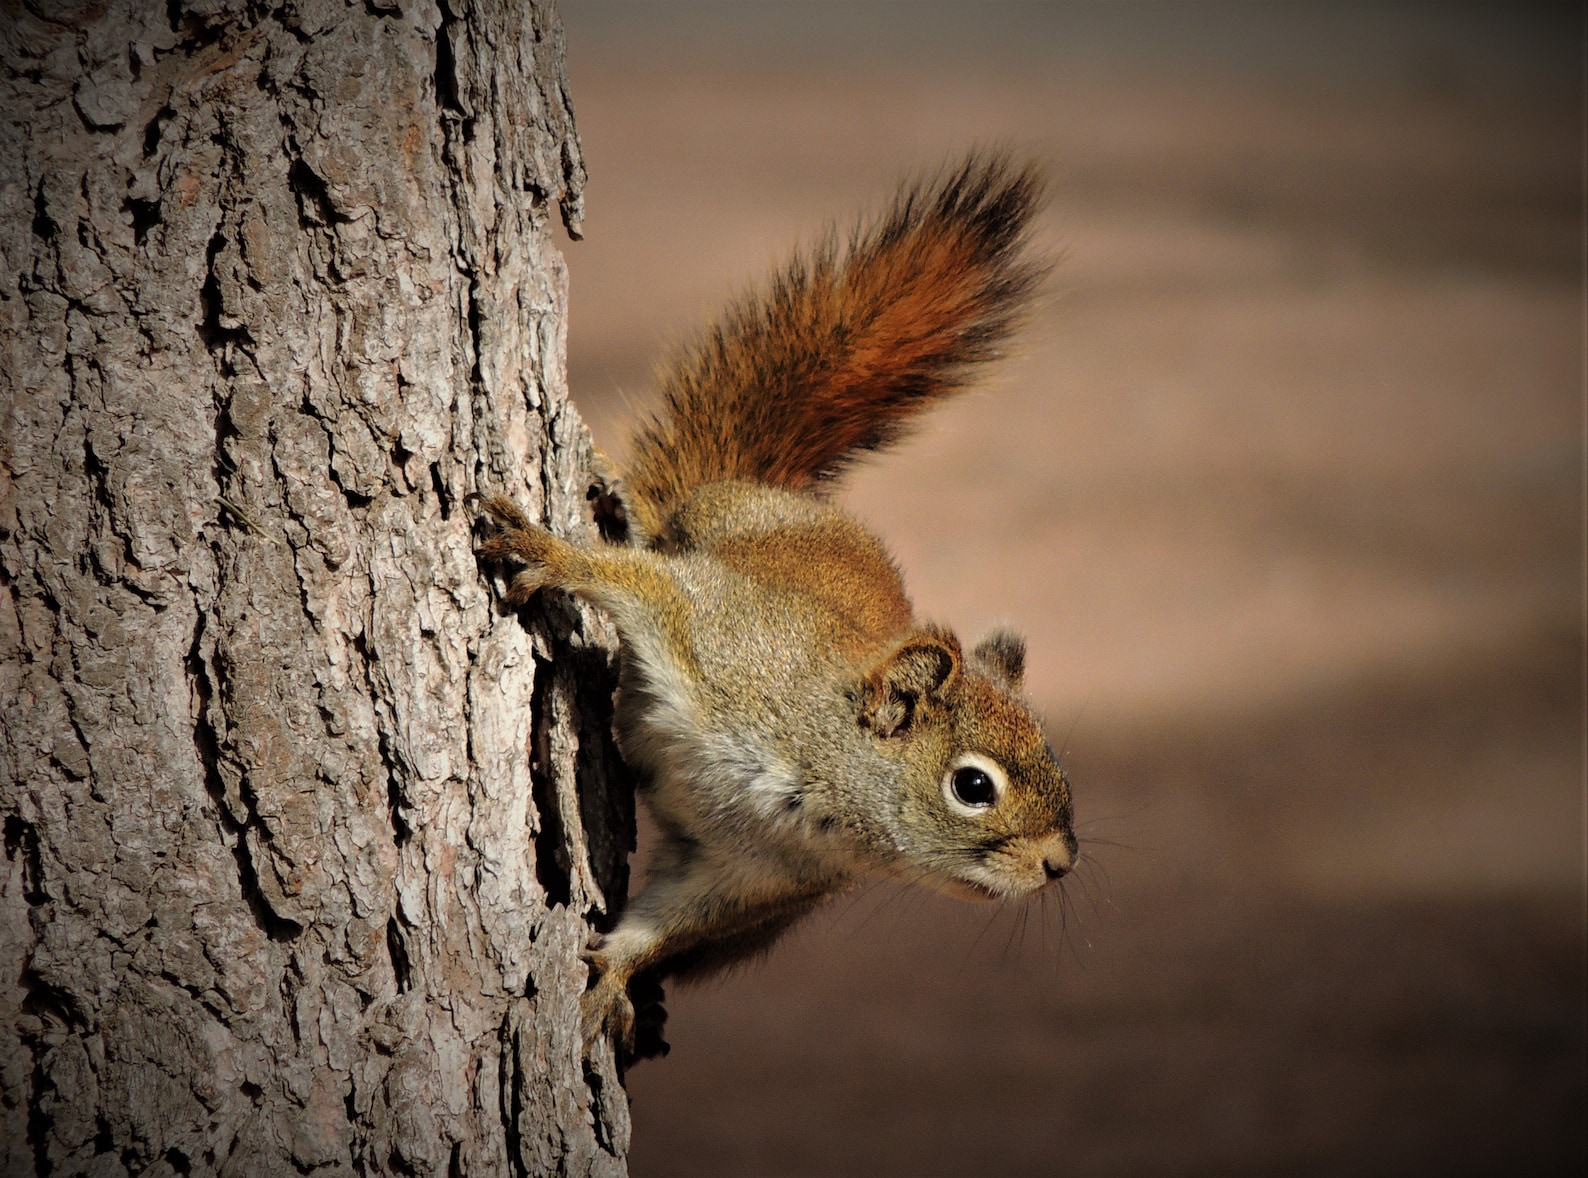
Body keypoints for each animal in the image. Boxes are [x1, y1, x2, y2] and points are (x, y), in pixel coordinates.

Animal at [476, 153, 1077, 1056]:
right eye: (973, 786)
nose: (1059, 864)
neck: (818, 787)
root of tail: (774, 493)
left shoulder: (747, 874)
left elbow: (670, 920)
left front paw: (613, 973)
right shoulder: (721, 639)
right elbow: (641, 586)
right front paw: (550, 553)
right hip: (706, 533)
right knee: (658, 542)